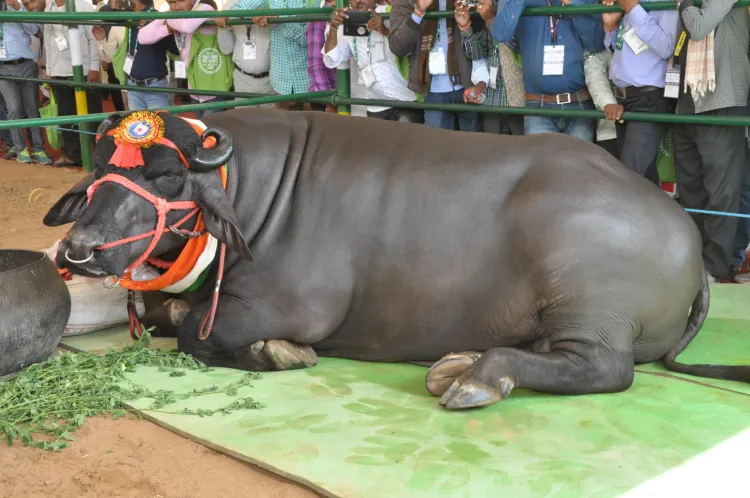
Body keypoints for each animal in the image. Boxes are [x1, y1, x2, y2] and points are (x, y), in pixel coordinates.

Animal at [44, 108, 750, 410]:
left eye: (166, 173)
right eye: (102, 167)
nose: (78, 249)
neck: (256, 193)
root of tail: (684, 230)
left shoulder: (293, 305)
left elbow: (195, 330)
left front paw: (279, 352)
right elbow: (163, 313)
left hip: (590, 306)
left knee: (603, 368)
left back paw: (478, 377)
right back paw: (458, 363)